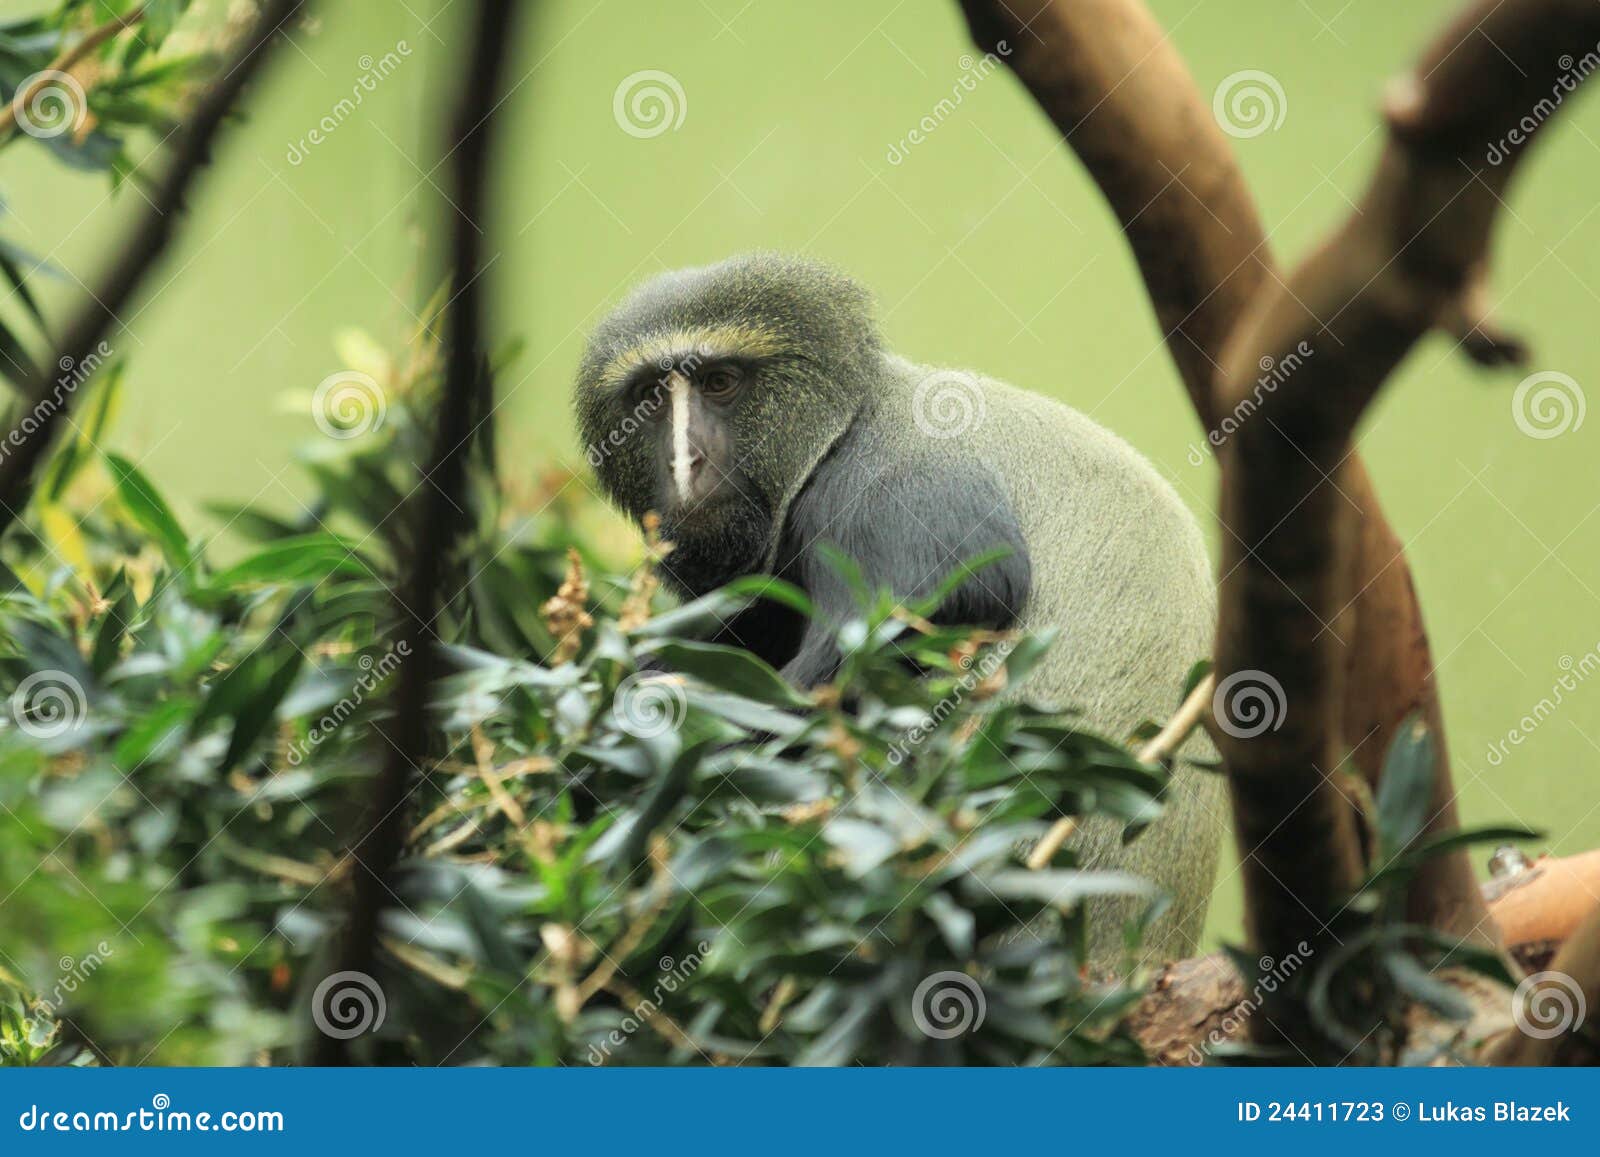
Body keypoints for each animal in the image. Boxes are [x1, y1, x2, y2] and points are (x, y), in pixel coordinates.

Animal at [574, 253, 1223, 969]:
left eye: (720, 383)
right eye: (652, 398)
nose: (682, 460)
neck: (840, 423)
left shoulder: (889, 483)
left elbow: (928, 615)